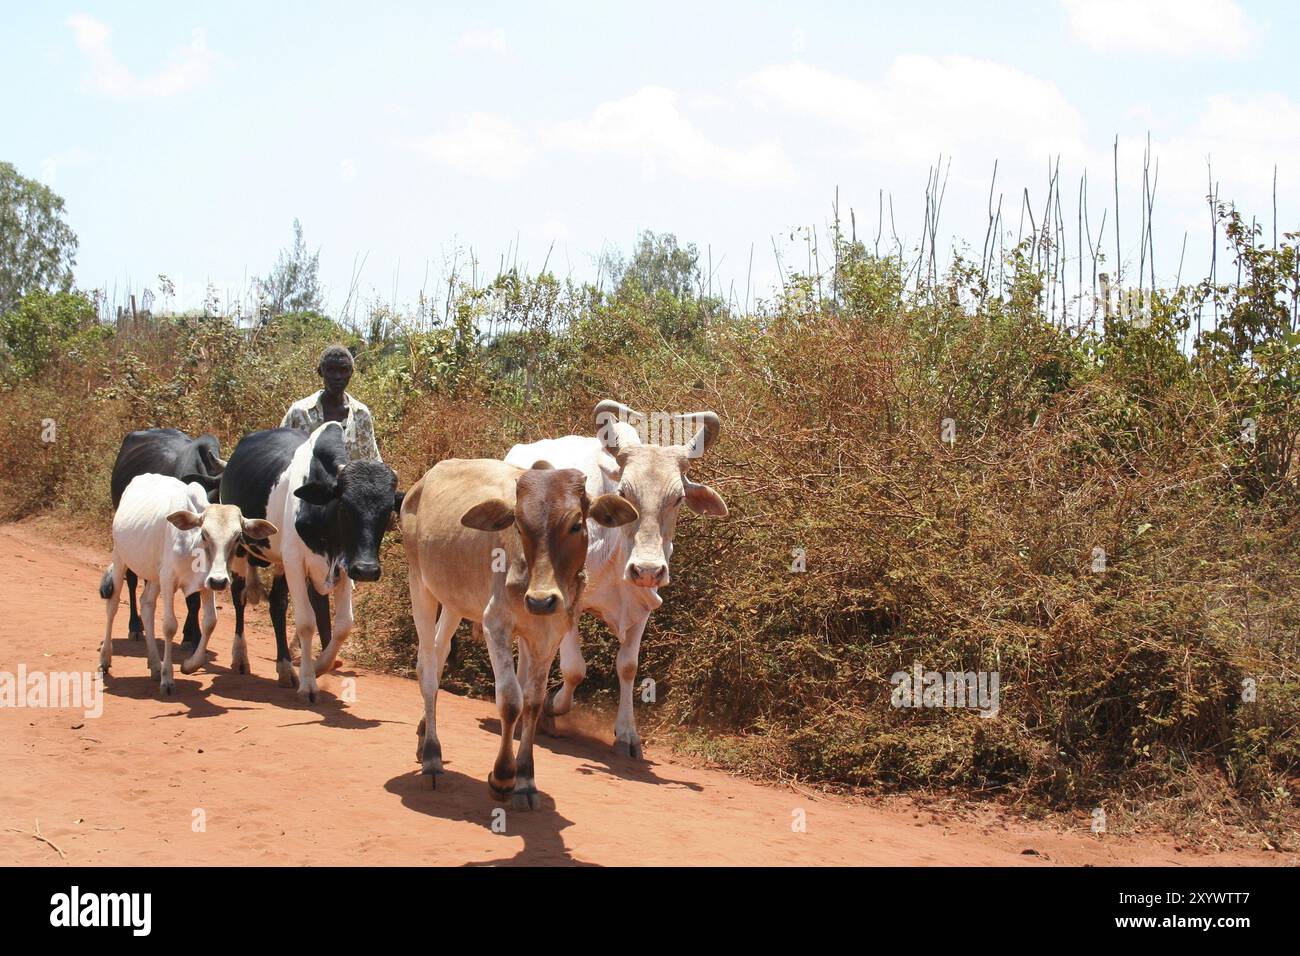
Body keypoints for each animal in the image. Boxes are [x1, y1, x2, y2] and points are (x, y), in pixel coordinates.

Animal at [98, 474, 276, 696]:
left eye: (237, 537)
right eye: (204, 534)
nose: (220, 581)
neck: (193, 547)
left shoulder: (206, 583)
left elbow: (210, 622)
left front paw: (189, 665)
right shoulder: (168, 580)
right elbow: (169, 626)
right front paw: (168, 679)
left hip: (154, 575)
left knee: (146, 605)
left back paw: (154, 665)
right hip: (121, 557)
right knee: (112, 606)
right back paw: (106, 659)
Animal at [217, 422, 403, 702]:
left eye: (387, 511)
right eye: (344, 506)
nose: (367, 570)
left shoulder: (342, 566)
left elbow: (344, 625)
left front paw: (319, 667)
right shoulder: (296, 562)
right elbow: (306, 622)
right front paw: (308, 684)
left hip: (281, 562)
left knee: (277, 605)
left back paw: (284, 669)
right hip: (240, 547)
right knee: (239, 596)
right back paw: (240, 657)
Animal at [402, 459, 637, 808]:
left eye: (575, 525)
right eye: (520, 526)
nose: (541, 600)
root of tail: (423, 481)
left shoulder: (548, 635)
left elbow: (534, 702)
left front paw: (526, 781)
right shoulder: (495, 624)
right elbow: (511, 700)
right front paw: (502, 778)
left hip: (455, 601)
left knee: (440, 653)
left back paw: (421, 735)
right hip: (420, 585)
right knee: (427, 669)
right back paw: (431, 756)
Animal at [500, 399, 726, 759]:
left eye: (678, 498)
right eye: (623, 492)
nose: (647, 569)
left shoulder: (643, 604)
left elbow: (627, 666)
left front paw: (627, 734)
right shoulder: (567, 600)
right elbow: (575, 669)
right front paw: (550, 706)